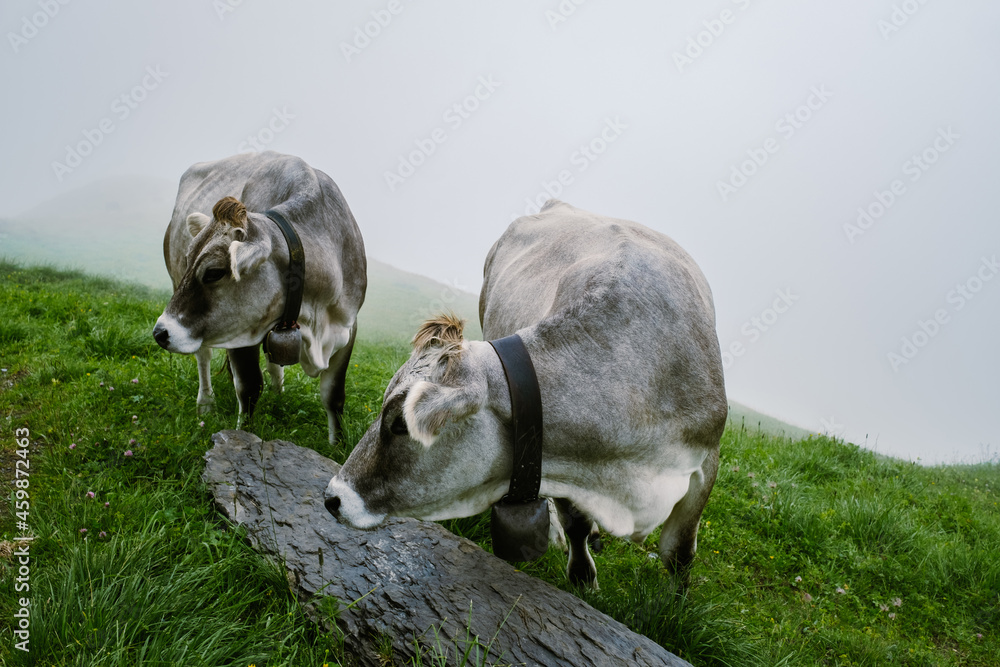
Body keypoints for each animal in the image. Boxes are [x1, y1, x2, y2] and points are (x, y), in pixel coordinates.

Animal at [152, 151, 367, 444]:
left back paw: (279, 393)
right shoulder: (240, 330)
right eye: (187, 261)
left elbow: (334, 395)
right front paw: (242, 436)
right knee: (203, 356)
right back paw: (206, 403)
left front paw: (338, 446)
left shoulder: (348, 325)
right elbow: (249, 386)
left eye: (214, 272)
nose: (159, 332)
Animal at [323, 200, 726, 586]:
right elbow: (576, 524)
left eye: (399, 425)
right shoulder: (554, 454)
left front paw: (674, 601)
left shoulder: (707, 457)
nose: (332, 497)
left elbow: (678, 553)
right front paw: (583, 579)